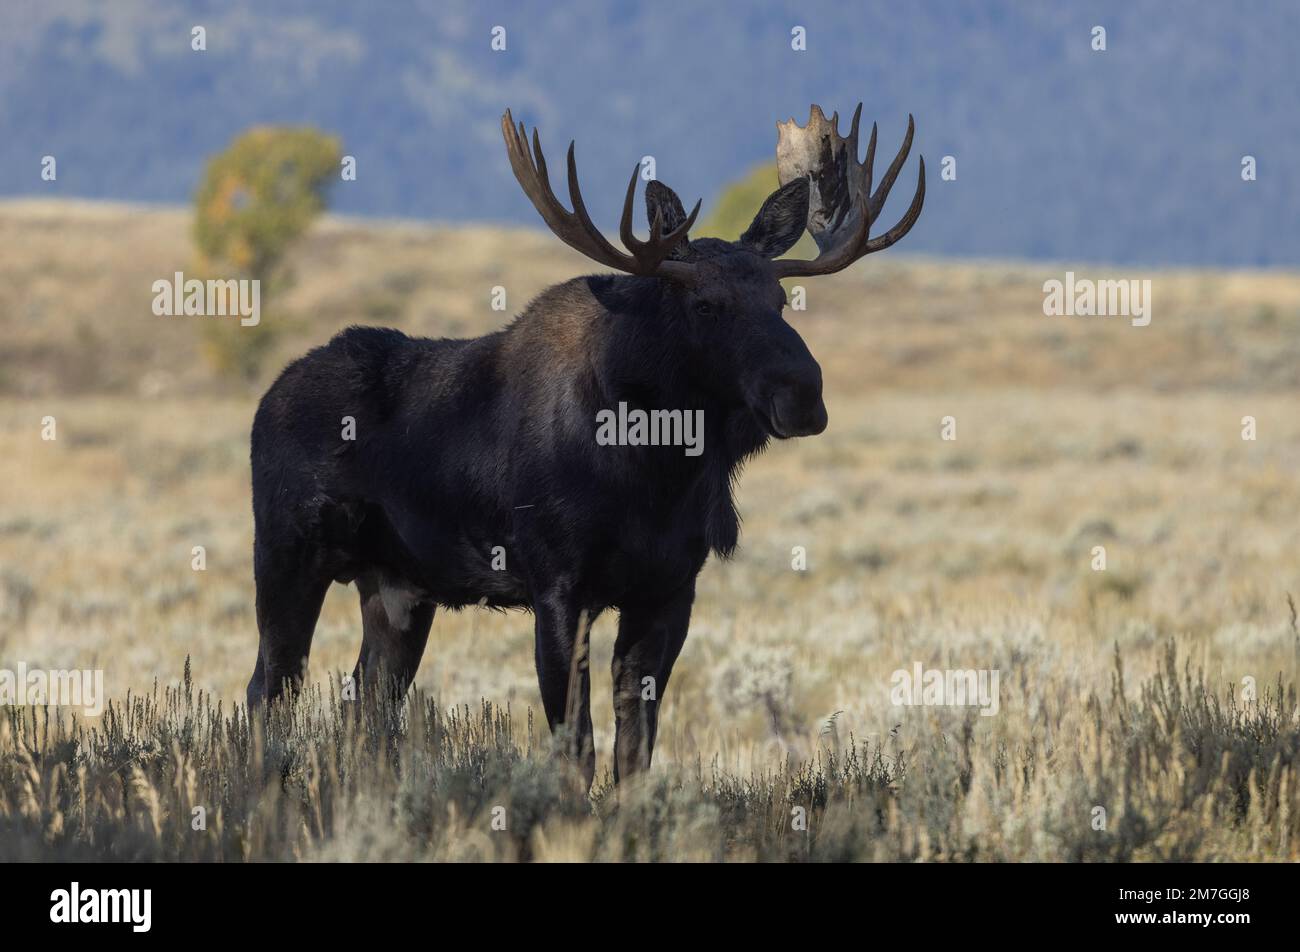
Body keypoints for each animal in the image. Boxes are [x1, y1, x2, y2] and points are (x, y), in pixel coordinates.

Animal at [246, 103, 924, 789]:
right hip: (287, 553)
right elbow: (576, 746)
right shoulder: (556, 585)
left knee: (365, 705)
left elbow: (635, 747)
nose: (803, 395)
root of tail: (267, 398)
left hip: (398, 587)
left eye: (781, 299)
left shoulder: (669, 587)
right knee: (269, 688)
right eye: (706, 304)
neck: (658, 467)